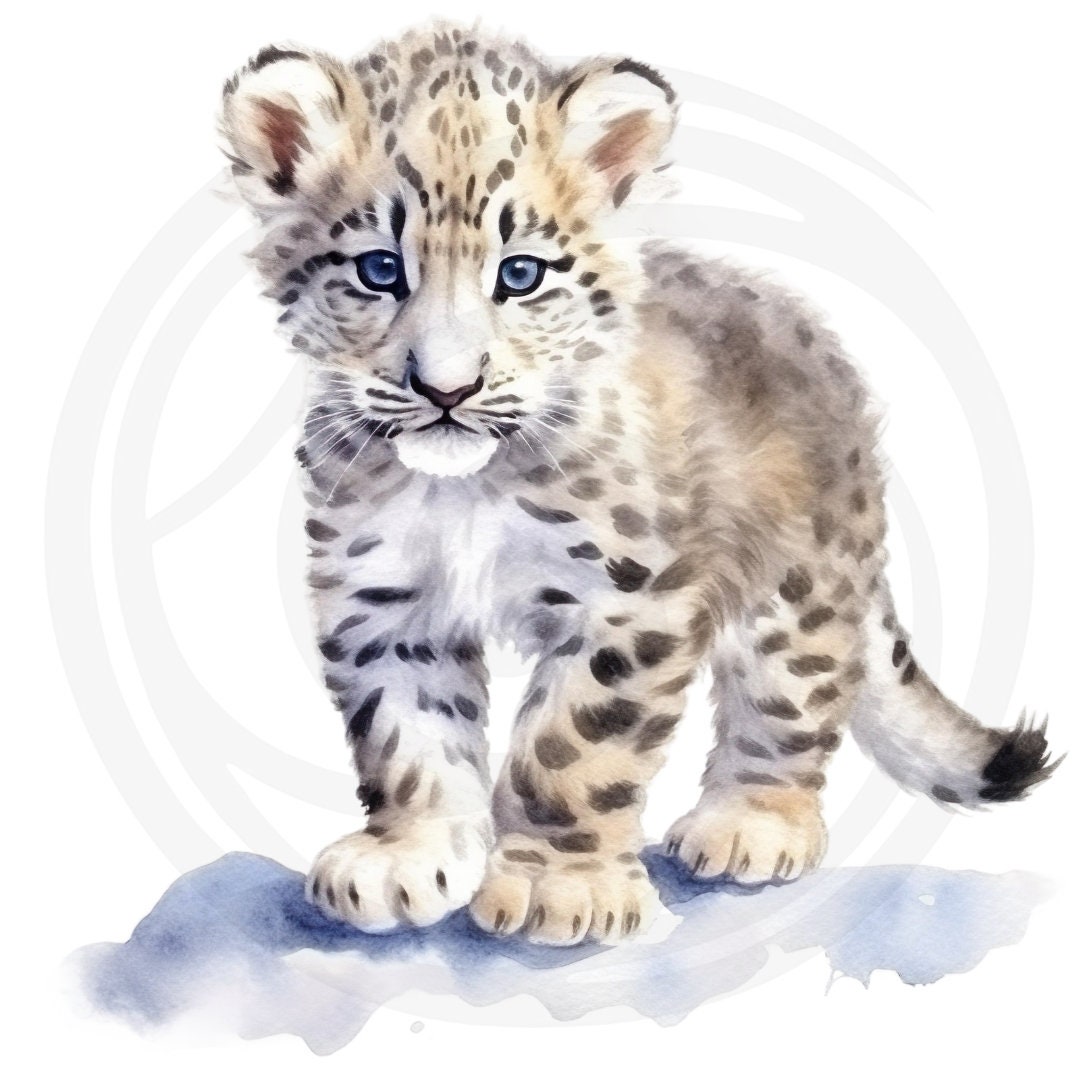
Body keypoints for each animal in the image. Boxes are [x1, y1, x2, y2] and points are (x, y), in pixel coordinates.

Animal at [218, 21, 1058, 946]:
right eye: (376, 268)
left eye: (520, 274)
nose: (448, 388)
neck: (465, 491)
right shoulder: (384, 601)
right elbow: (409, 735)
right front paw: (409, 856)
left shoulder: (626, 599)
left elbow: (573, 746)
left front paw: (560, 886)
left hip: (795, 590)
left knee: (793, 703)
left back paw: (752, 825)